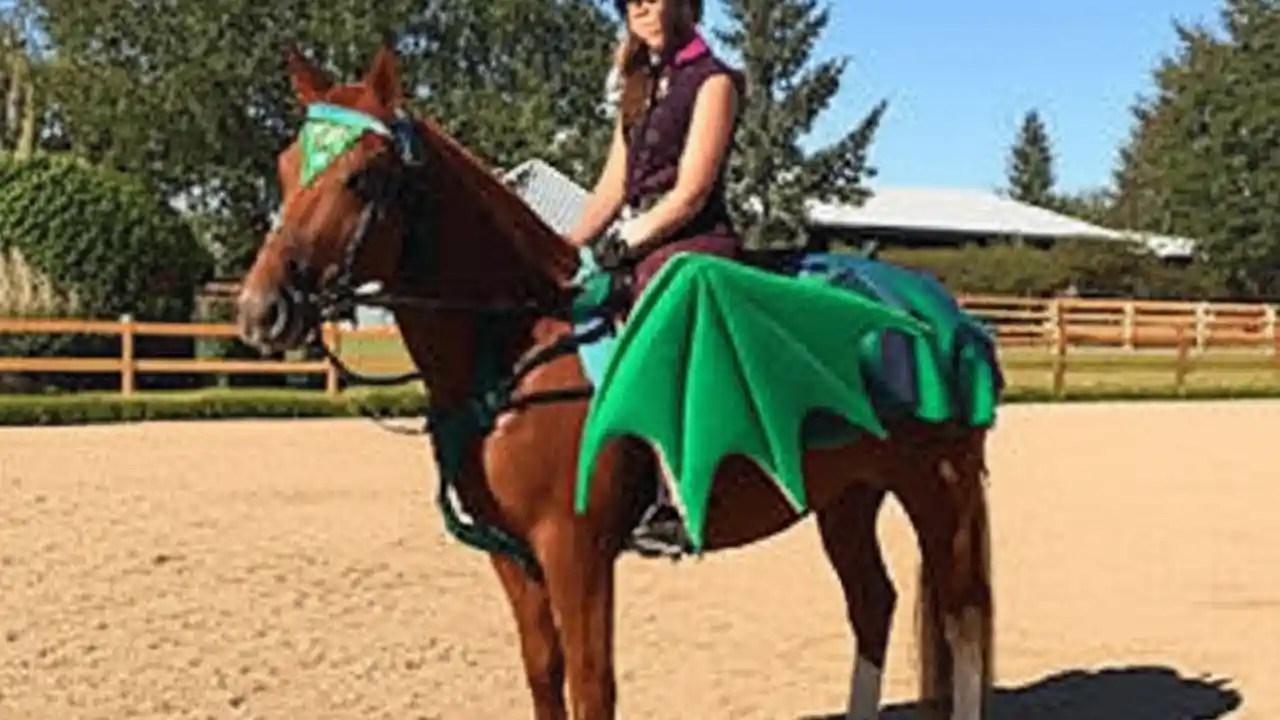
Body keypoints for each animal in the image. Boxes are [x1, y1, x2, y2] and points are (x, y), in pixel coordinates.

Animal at [235, 45, 997, 720]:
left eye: (363, 176)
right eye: (284, 167)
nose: (260, 309)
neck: (520, 346)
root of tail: (940, 308)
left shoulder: (575, 552)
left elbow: (591, 686)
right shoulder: (512, 555)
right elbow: (544, 675)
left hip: (939, 492)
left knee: (961, 624)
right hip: (848, 496)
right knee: (873, 604)